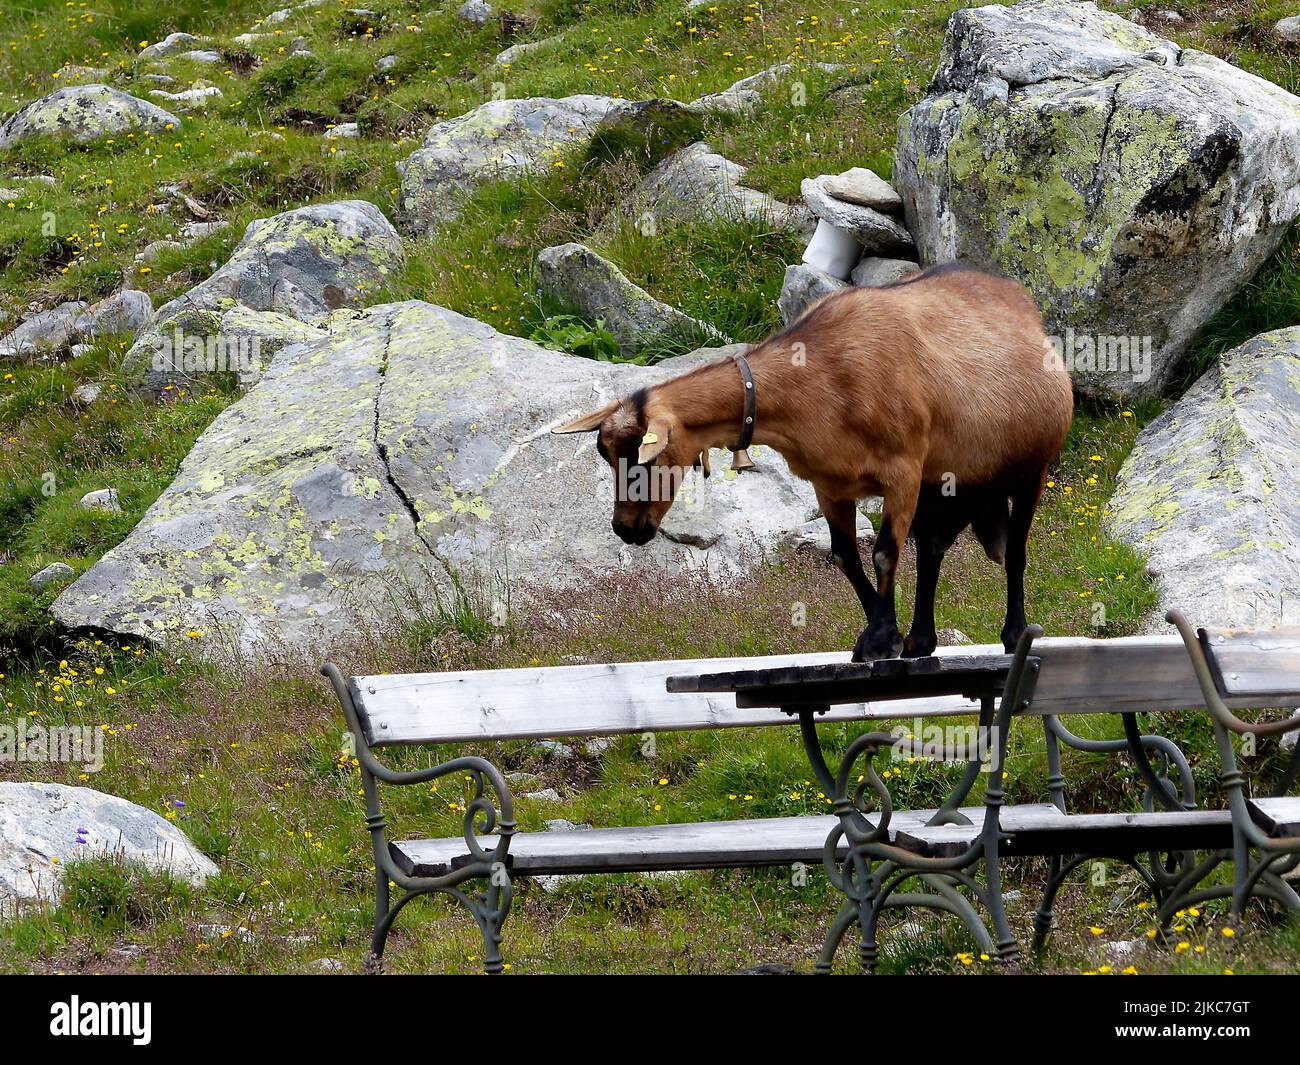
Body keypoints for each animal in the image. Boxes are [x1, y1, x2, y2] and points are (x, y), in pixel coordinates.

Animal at [553, 264, 1074, 660]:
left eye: (646, 459)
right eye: (606, 454)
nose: (625, 528)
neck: (819, 376)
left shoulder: (903, 470)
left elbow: (883, 553)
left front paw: (878, 639)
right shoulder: (831, 485)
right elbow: (846, 557)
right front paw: (884, 637)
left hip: (1030, 470)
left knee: (1015, 551)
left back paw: (1014, 633)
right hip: (948, 486)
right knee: (933, 550)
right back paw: (920, 641)